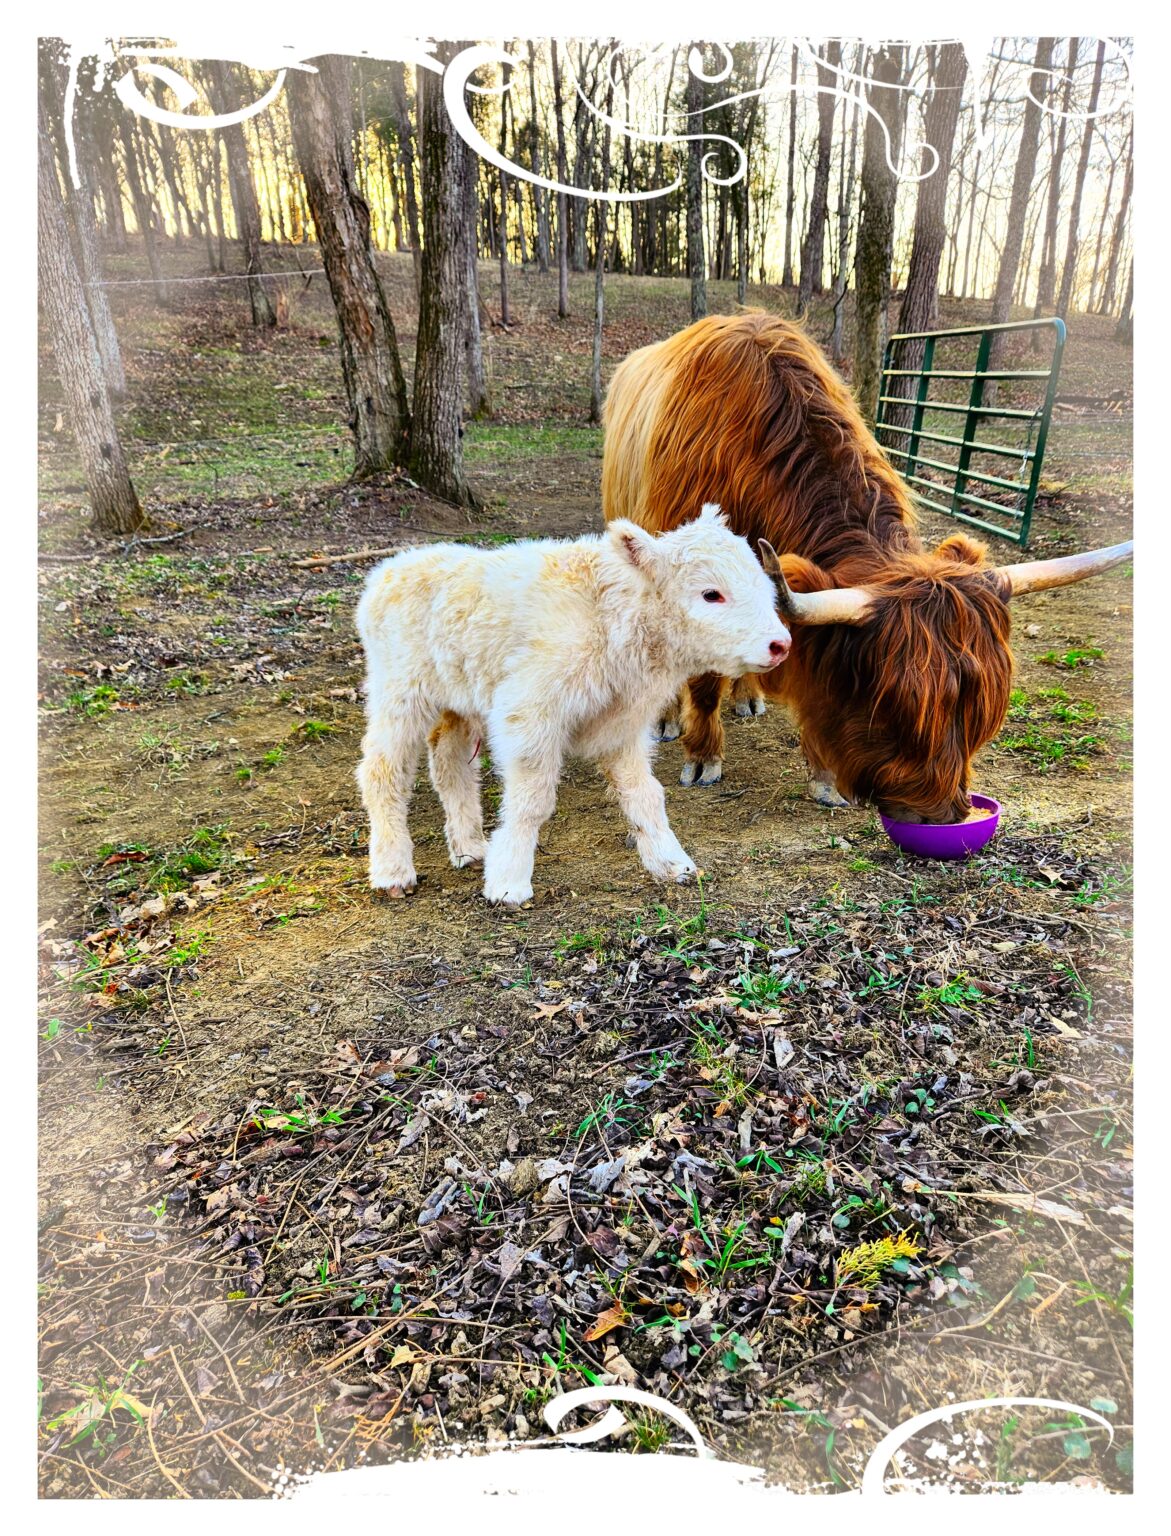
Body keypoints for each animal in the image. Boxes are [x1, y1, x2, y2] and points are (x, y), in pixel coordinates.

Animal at [355, 506, 792, 907]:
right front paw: (509, 883)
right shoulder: (529, 714)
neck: (608, 615)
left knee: (451, 764)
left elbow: (645, 792)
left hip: (457, 700)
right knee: (382, 771)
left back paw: (470, 848)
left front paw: (671, 862)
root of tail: (390, 569)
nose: (781, 645)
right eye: (711, 593)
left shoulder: (624, 724)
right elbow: (532, 799)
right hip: (400, 693)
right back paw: (393, 870)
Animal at [602, 311, 1132, 822]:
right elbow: (705, 682)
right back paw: (669, 720)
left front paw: (823, 777)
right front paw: (703, 758)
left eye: (981, 715)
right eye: (892, 707)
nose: (940, 815)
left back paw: (749, 696)